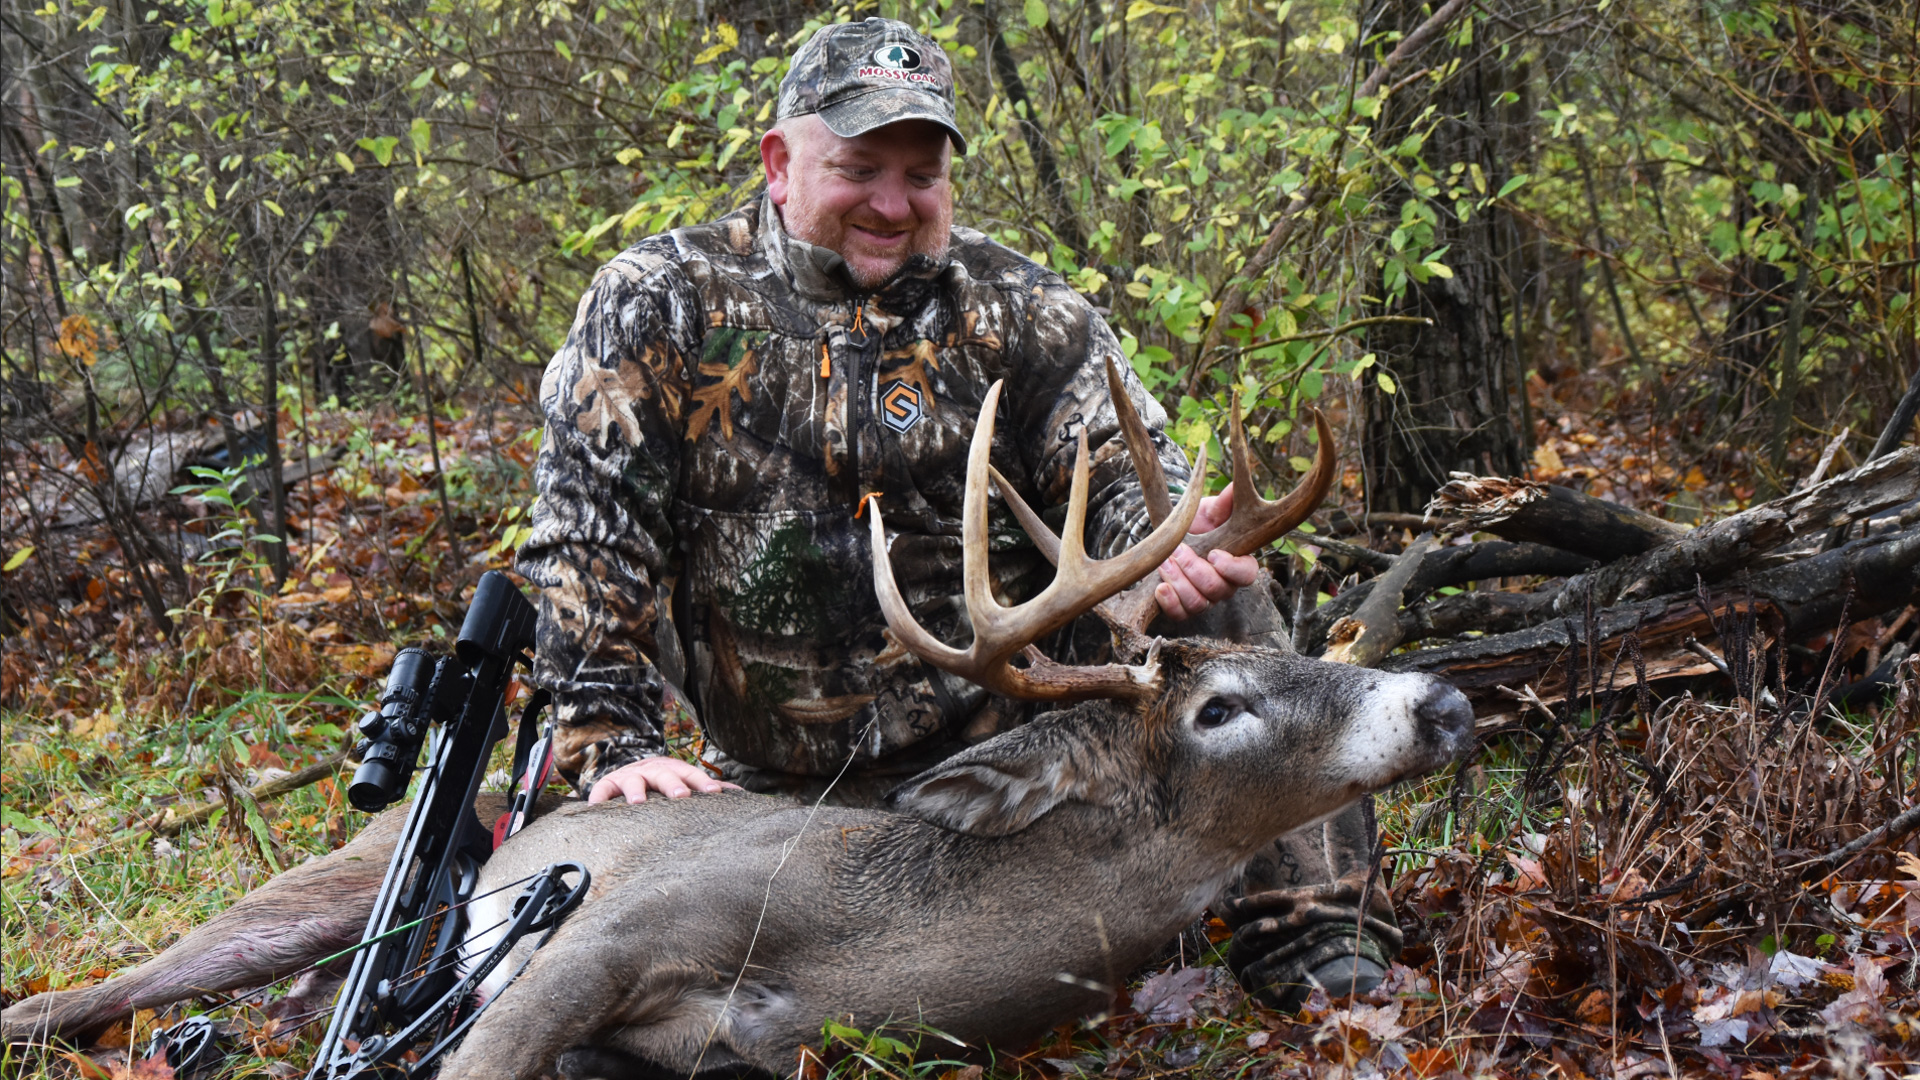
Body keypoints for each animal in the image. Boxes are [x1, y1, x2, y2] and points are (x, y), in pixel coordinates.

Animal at [4, 373, 1474, 1080]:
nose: (1443, 700)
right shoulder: (599, 934)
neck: (864, 943)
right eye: (1219, 708)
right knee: (93, 992)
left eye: (1267, 657)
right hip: (314, 891)